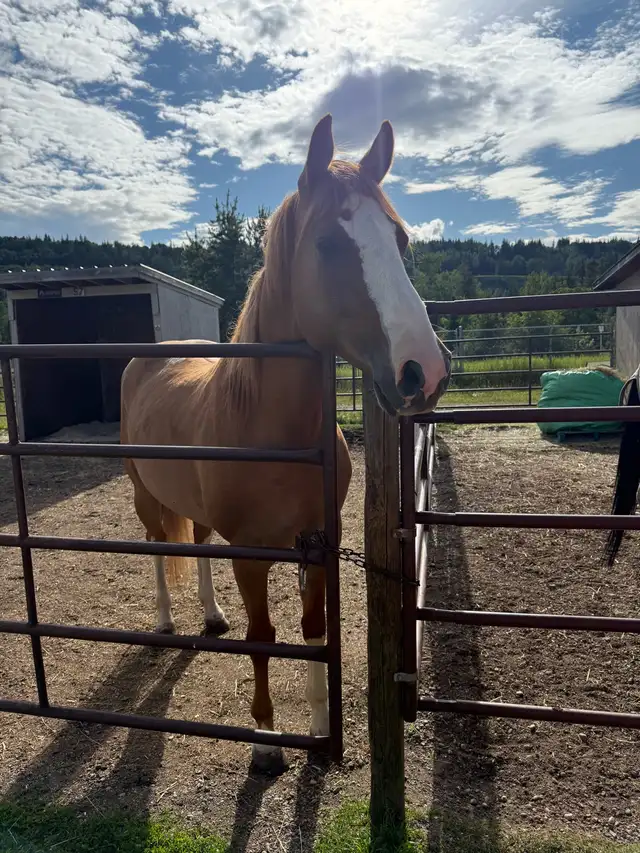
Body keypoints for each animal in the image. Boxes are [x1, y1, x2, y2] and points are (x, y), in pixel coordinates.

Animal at [120, 113, 452, 774]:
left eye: (400, 241)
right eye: (326, 244)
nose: (423, 372)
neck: (272, 430)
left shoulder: (318, 544)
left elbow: (312, 631)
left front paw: (321, 729)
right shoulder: (251, 553)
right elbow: (264, 638)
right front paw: (268, 741)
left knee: (196, 543)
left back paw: (210, 616)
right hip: (145, 493)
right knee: (158, 547)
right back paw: (167, 623)